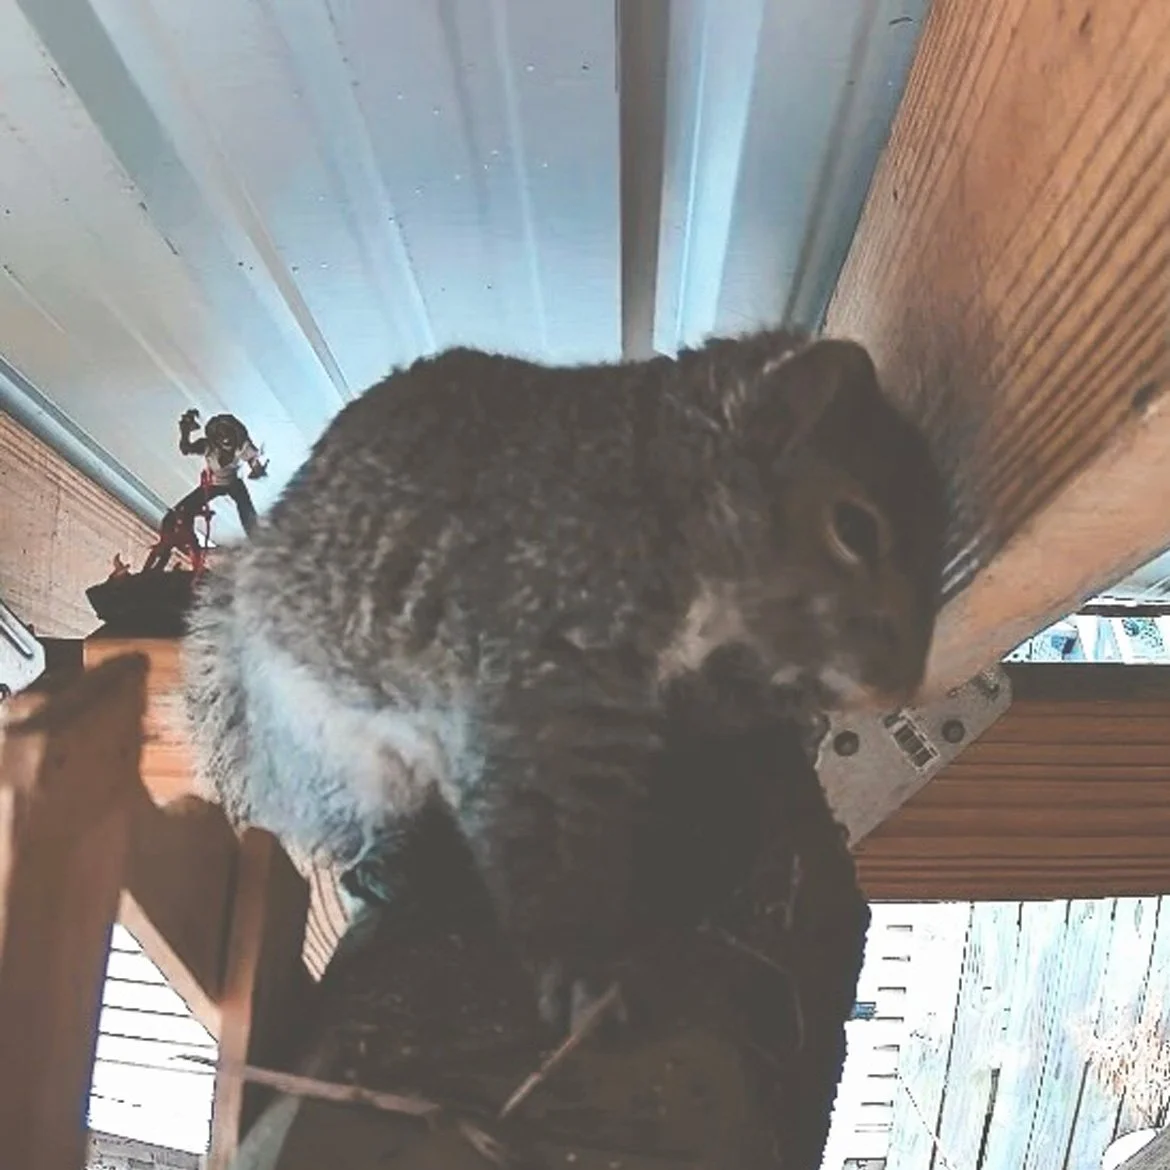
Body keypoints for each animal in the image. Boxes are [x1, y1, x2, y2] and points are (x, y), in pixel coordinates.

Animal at [182, 329, 946, 1034]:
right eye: (855, 527)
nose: (899, 685)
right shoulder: (537, 659)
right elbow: (543, 818)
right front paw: (582, 973)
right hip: (344, 763)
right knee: (351, 844)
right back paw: (388, 868)